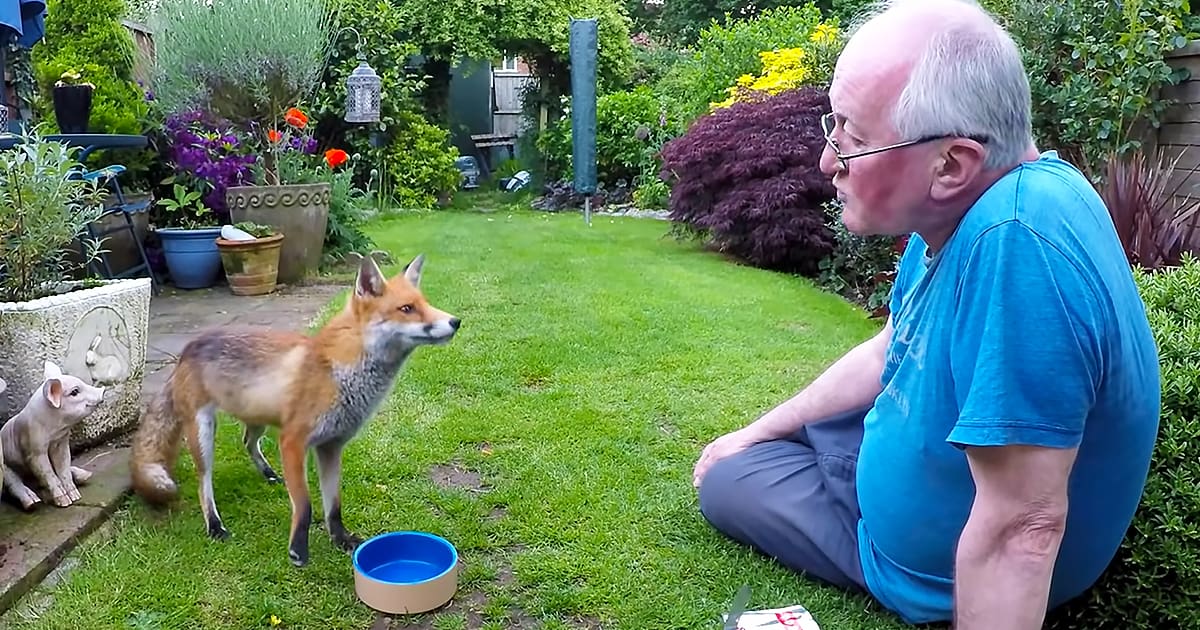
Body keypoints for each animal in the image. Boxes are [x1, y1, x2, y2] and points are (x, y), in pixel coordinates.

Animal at [129, 252, 461, 566]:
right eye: (406, 309)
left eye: (425, 303)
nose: (456, 321)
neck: (341, 374)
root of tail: (186, 349)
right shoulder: (292, 440)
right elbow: (305, 504)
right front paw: (298, 550)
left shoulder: (331, 446)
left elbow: (333, 505)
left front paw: (340, 539)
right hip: (203, 434)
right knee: (204, 482)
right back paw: (214, 525)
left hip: (258, 418)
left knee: (247, 442)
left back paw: (267, 474)